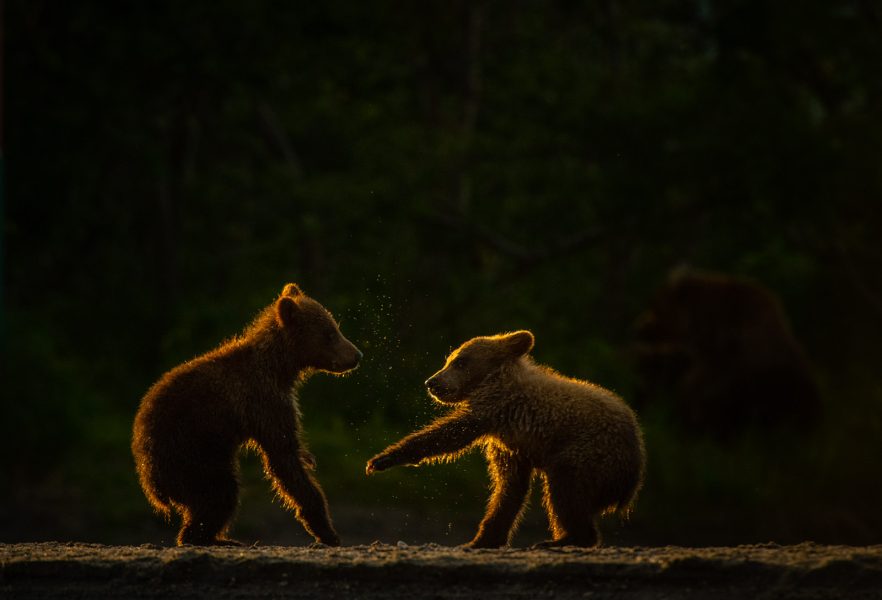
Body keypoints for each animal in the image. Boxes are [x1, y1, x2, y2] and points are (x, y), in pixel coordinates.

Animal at [131, 283, 361, 546]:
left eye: (335, 327)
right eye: (329, 333)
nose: (357, 355)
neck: (280, 368)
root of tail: (151, 483)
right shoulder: (263, 402)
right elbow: (284, 458)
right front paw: (327, 531)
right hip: (189, 454)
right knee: (221, 492)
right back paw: (210, 538)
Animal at [366, 331, 645, 548]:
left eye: (460, 362)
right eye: (450, 359)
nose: (432, 382)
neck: (493, 379)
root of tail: (631, 482)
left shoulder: (495, 408)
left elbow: (449, 435)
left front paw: (382, 459)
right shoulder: (507, 444)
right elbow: (509, 488)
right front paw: (483, 539)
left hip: (588, 455)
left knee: (565, 490)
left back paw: (563, 539)